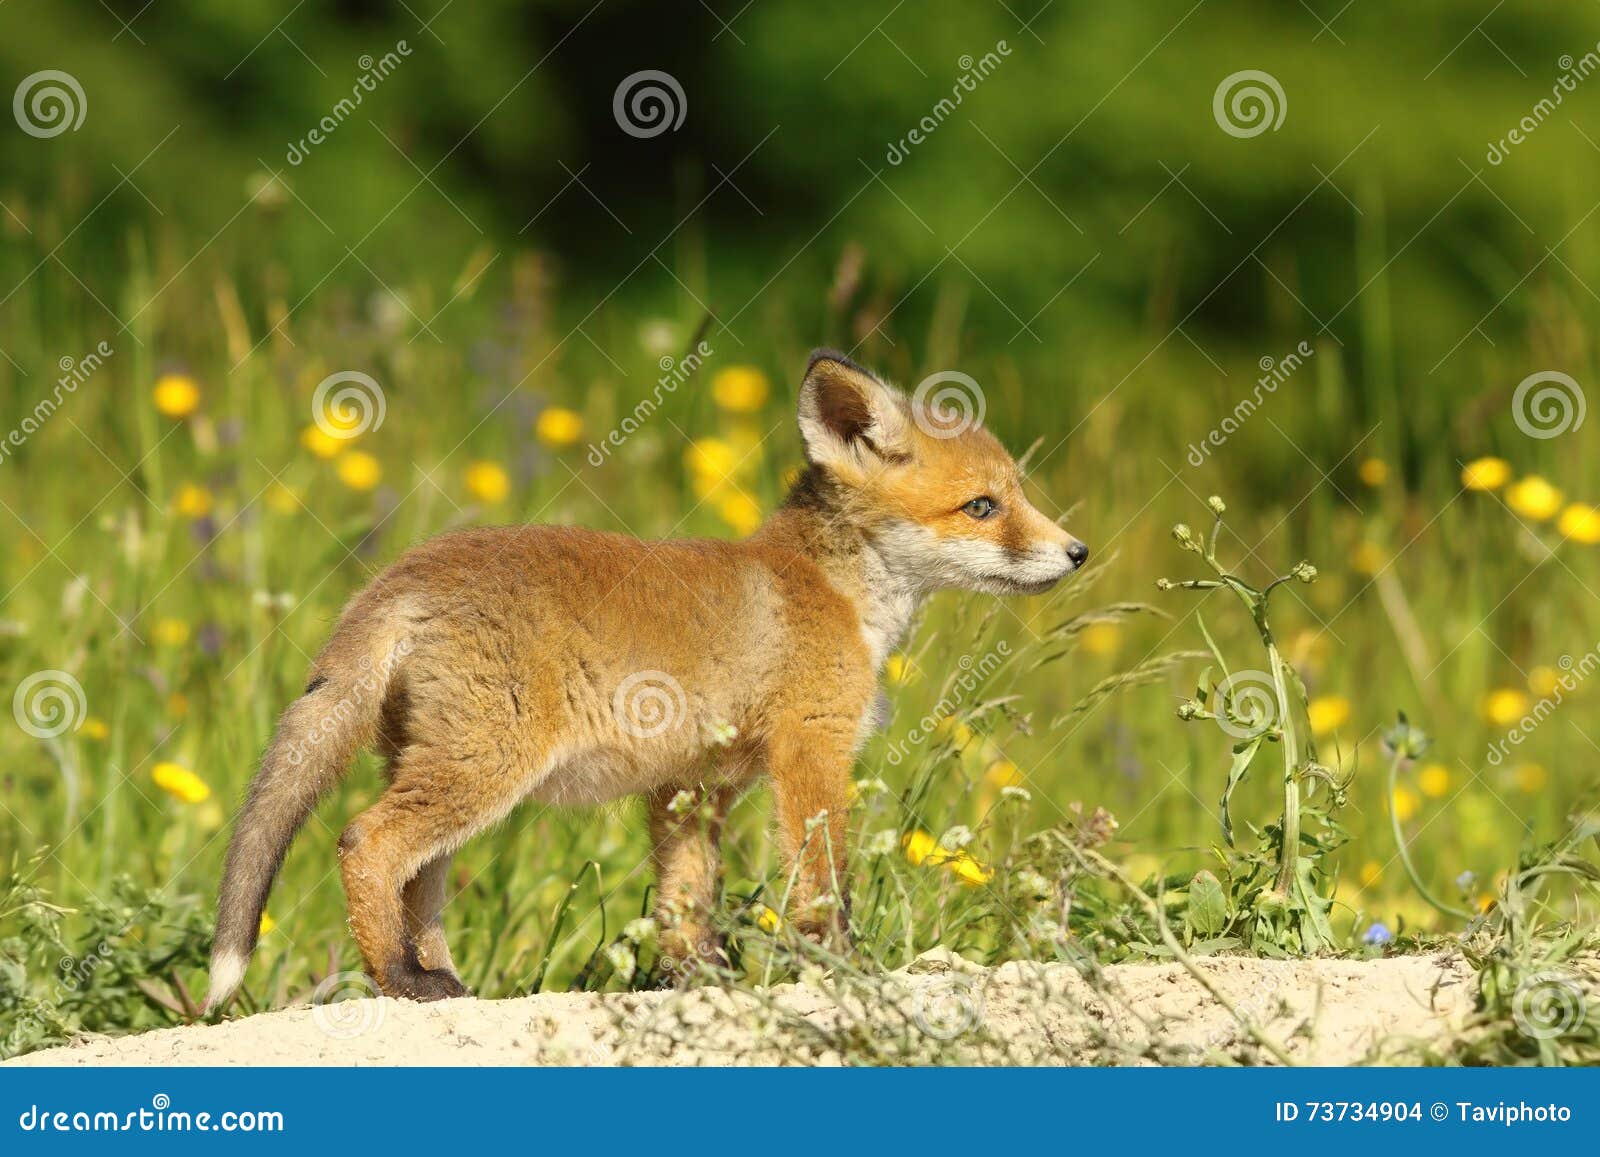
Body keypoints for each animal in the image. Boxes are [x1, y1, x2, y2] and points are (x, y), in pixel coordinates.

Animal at [207, 350, 1088, 1008]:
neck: (835, 591)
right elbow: (821, 888)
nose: (1078, 552)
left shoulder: (688, 787)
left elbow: (684, 909)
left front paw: (701, 984)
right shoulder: (812, 750)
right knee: (365, 840)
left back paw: (435, 975)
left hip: (442, 770)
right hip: (483, 768)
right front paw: (844, 971)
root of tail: (405, 571)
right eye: (982, 506)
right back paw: (397, 978)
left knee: (415, 879)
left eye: (1017, 494)